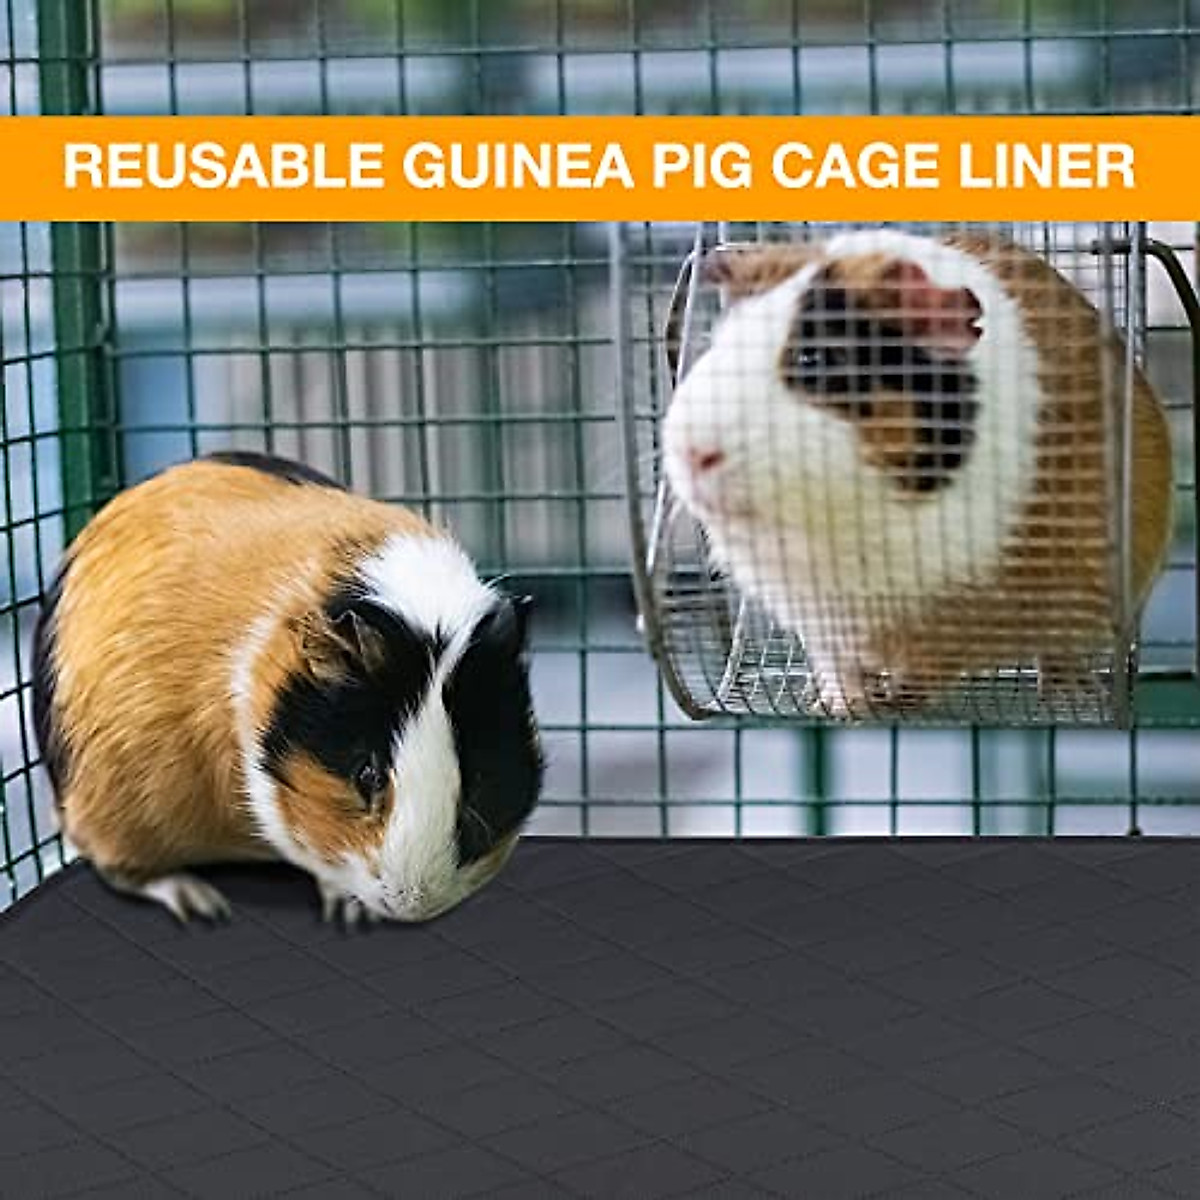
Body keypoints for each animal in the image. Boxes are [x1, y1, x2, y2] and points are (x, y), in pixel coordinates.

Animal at [32, 450, 543, 923]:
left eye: (477, 776)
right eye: (367, 774)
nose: (411, 906)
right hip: (112, 816)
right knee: (120, 870)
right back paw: (197, 902)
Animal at [662, 229, 1174, 718]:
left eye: (816, 360)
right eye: (716, 345)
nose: (691, 452)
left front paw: (887, 702)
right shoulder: (816, 617)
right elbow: (839, 665)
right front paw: (841, 706)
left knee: (1059, 651)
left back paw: (1069, 694)